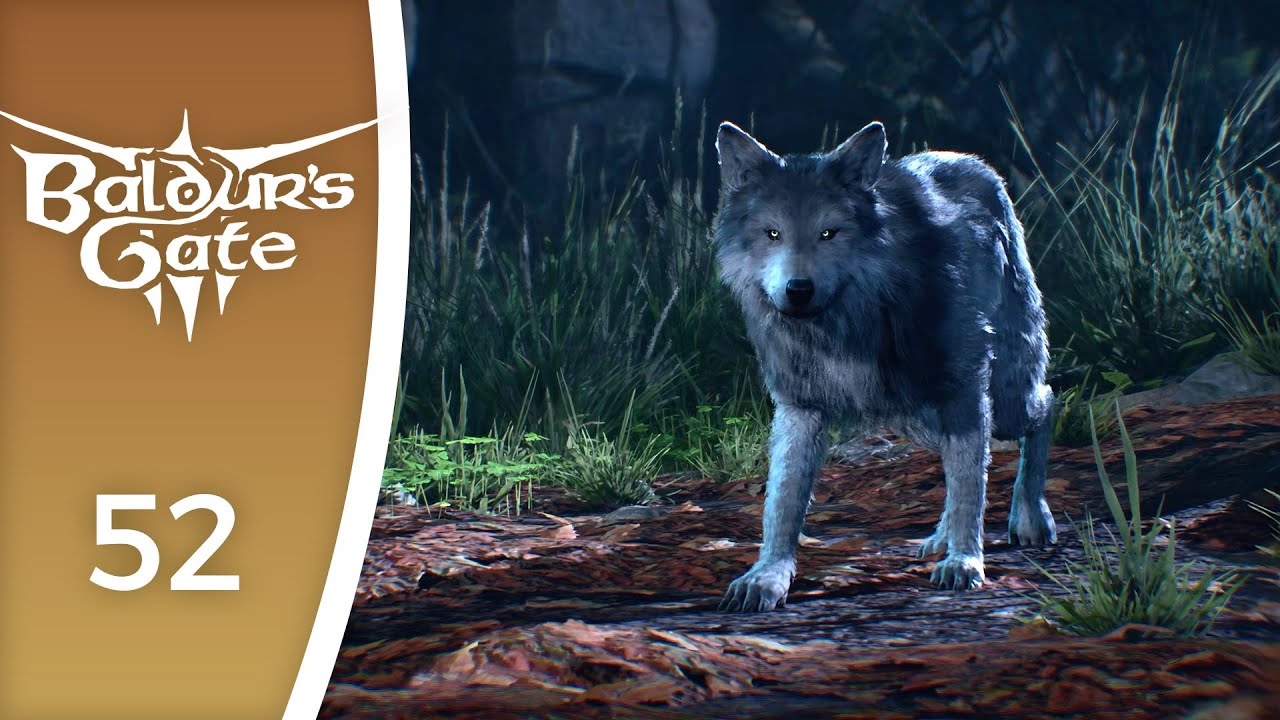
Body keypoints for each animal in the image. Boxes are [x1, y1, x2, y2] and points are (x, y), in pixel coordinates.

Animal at [713, 120, 1057, 612]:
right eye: (772, 233)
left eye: (829, 233)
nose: (798, 289)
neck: (845, 322)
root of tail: (972, 160)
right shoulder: (799, 407)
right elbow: (781, 502)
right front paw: (767, 576)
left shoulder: (964, 388)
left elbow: (969, 486)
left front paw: (965, 561)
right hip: (917, 415)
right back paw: (941, 537)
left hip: (1000, 398)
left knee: (1047, 403)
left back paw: (1030, 518)